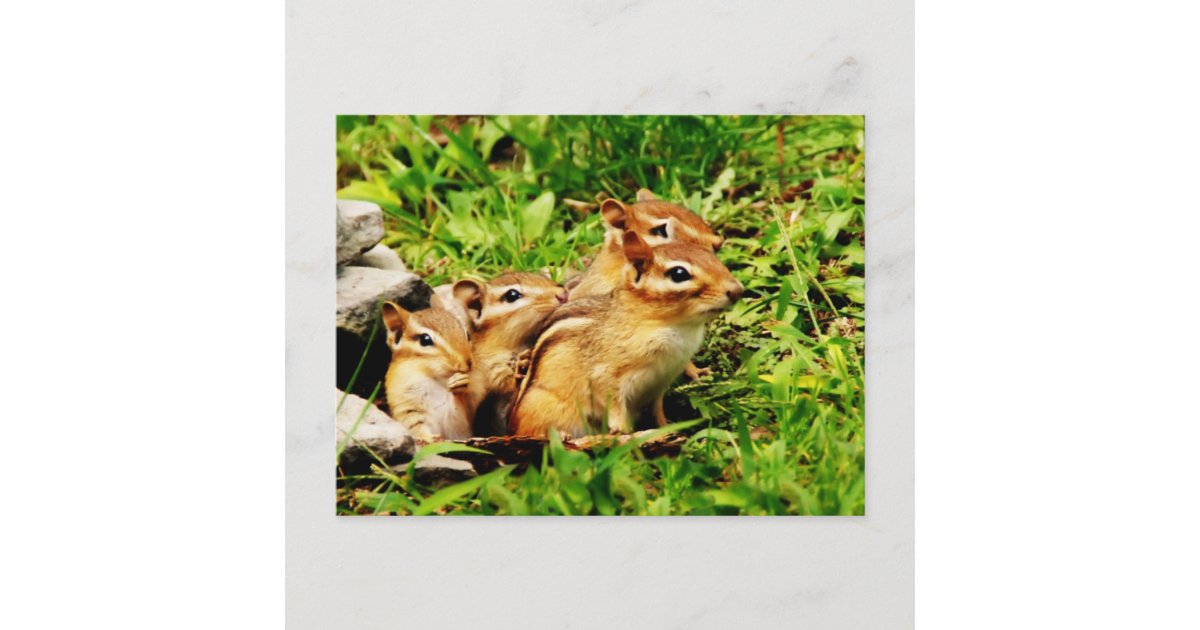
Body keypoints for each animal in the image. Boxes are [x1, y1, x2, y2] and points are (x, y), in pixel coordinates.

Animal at [380, 296, 474, 441]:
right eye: (425, 340)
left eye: (468, 335)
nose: (466, 364)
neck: (432, 376)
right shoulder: (407, 408)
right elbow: (416, 428)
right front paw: (429, 438)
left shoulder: (457, 426)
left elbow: (457, 417)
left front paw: (460, 382)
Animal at [509, 231, 743, 439]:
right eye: (679, 274)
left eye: (713, 258)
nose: (738, 290)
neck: (675, 328)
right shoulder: (605, 374)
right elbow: (613, 402)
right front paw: (623, 430)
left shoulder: (660, 382)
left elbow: (657, 409)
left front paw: (669, 427)